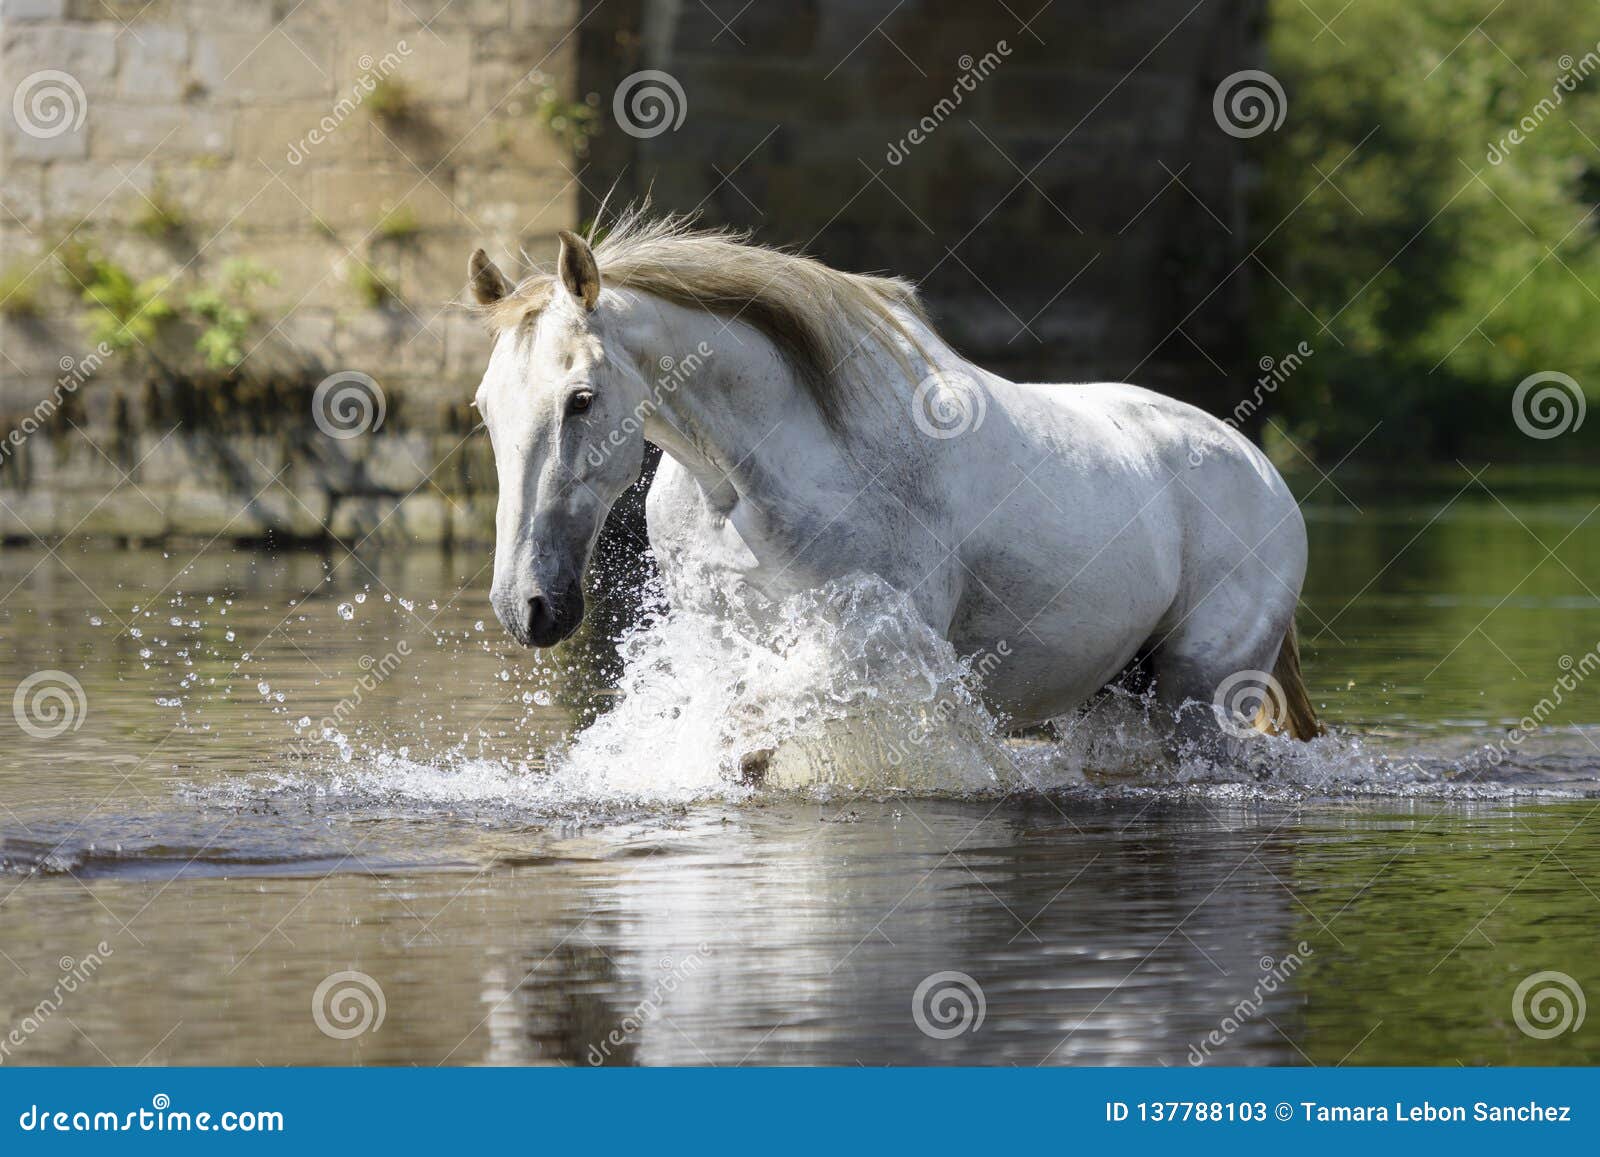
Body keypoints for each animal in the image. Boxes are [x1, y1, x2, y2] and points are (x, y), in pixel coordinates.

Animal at [466, 211, 1320, 751]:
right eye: (484, 406)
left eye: (580, 399)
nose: (526, 606)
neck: (748, 486)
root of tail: (1260, 468)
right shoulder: (720, 639)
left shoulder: (872, 649)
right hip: (1118, 692)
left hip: (1195, 692)